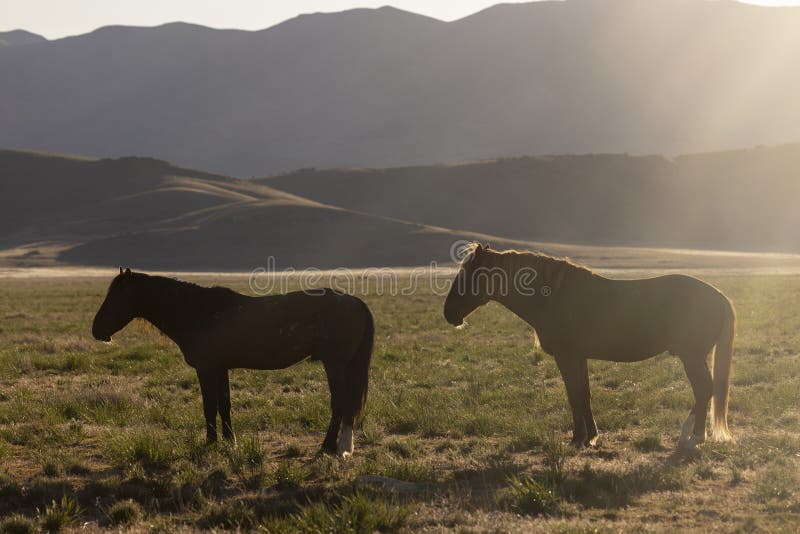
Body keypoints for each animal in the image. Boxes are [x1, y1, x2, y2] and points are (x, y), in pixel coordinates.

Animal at [92, 268, 373, 457]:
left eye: (116, 297)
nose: (96, 330)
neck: (196, 311)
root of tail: (356, 302)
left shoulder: (206, 369)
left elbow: (209, 406)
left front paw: (210, 442)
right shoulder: (220, 369)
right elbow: (224, 405)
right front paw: (230, 441)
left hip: (334, 365)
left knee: (340, 404)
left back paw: (328, 446)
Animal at [443, 244, 735, 450]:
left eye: (470, 275)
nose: (449, 313)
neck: (553, 295)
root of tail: (719, 296)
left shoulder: (567, 357)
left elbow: (574, 397)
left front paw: (576, 440)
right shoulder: (579, 357)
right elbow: (584, 395)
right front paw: (590, 437)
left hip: (691, 356)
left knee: (705, 389)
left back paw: (694, 437)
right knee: (705, 391)